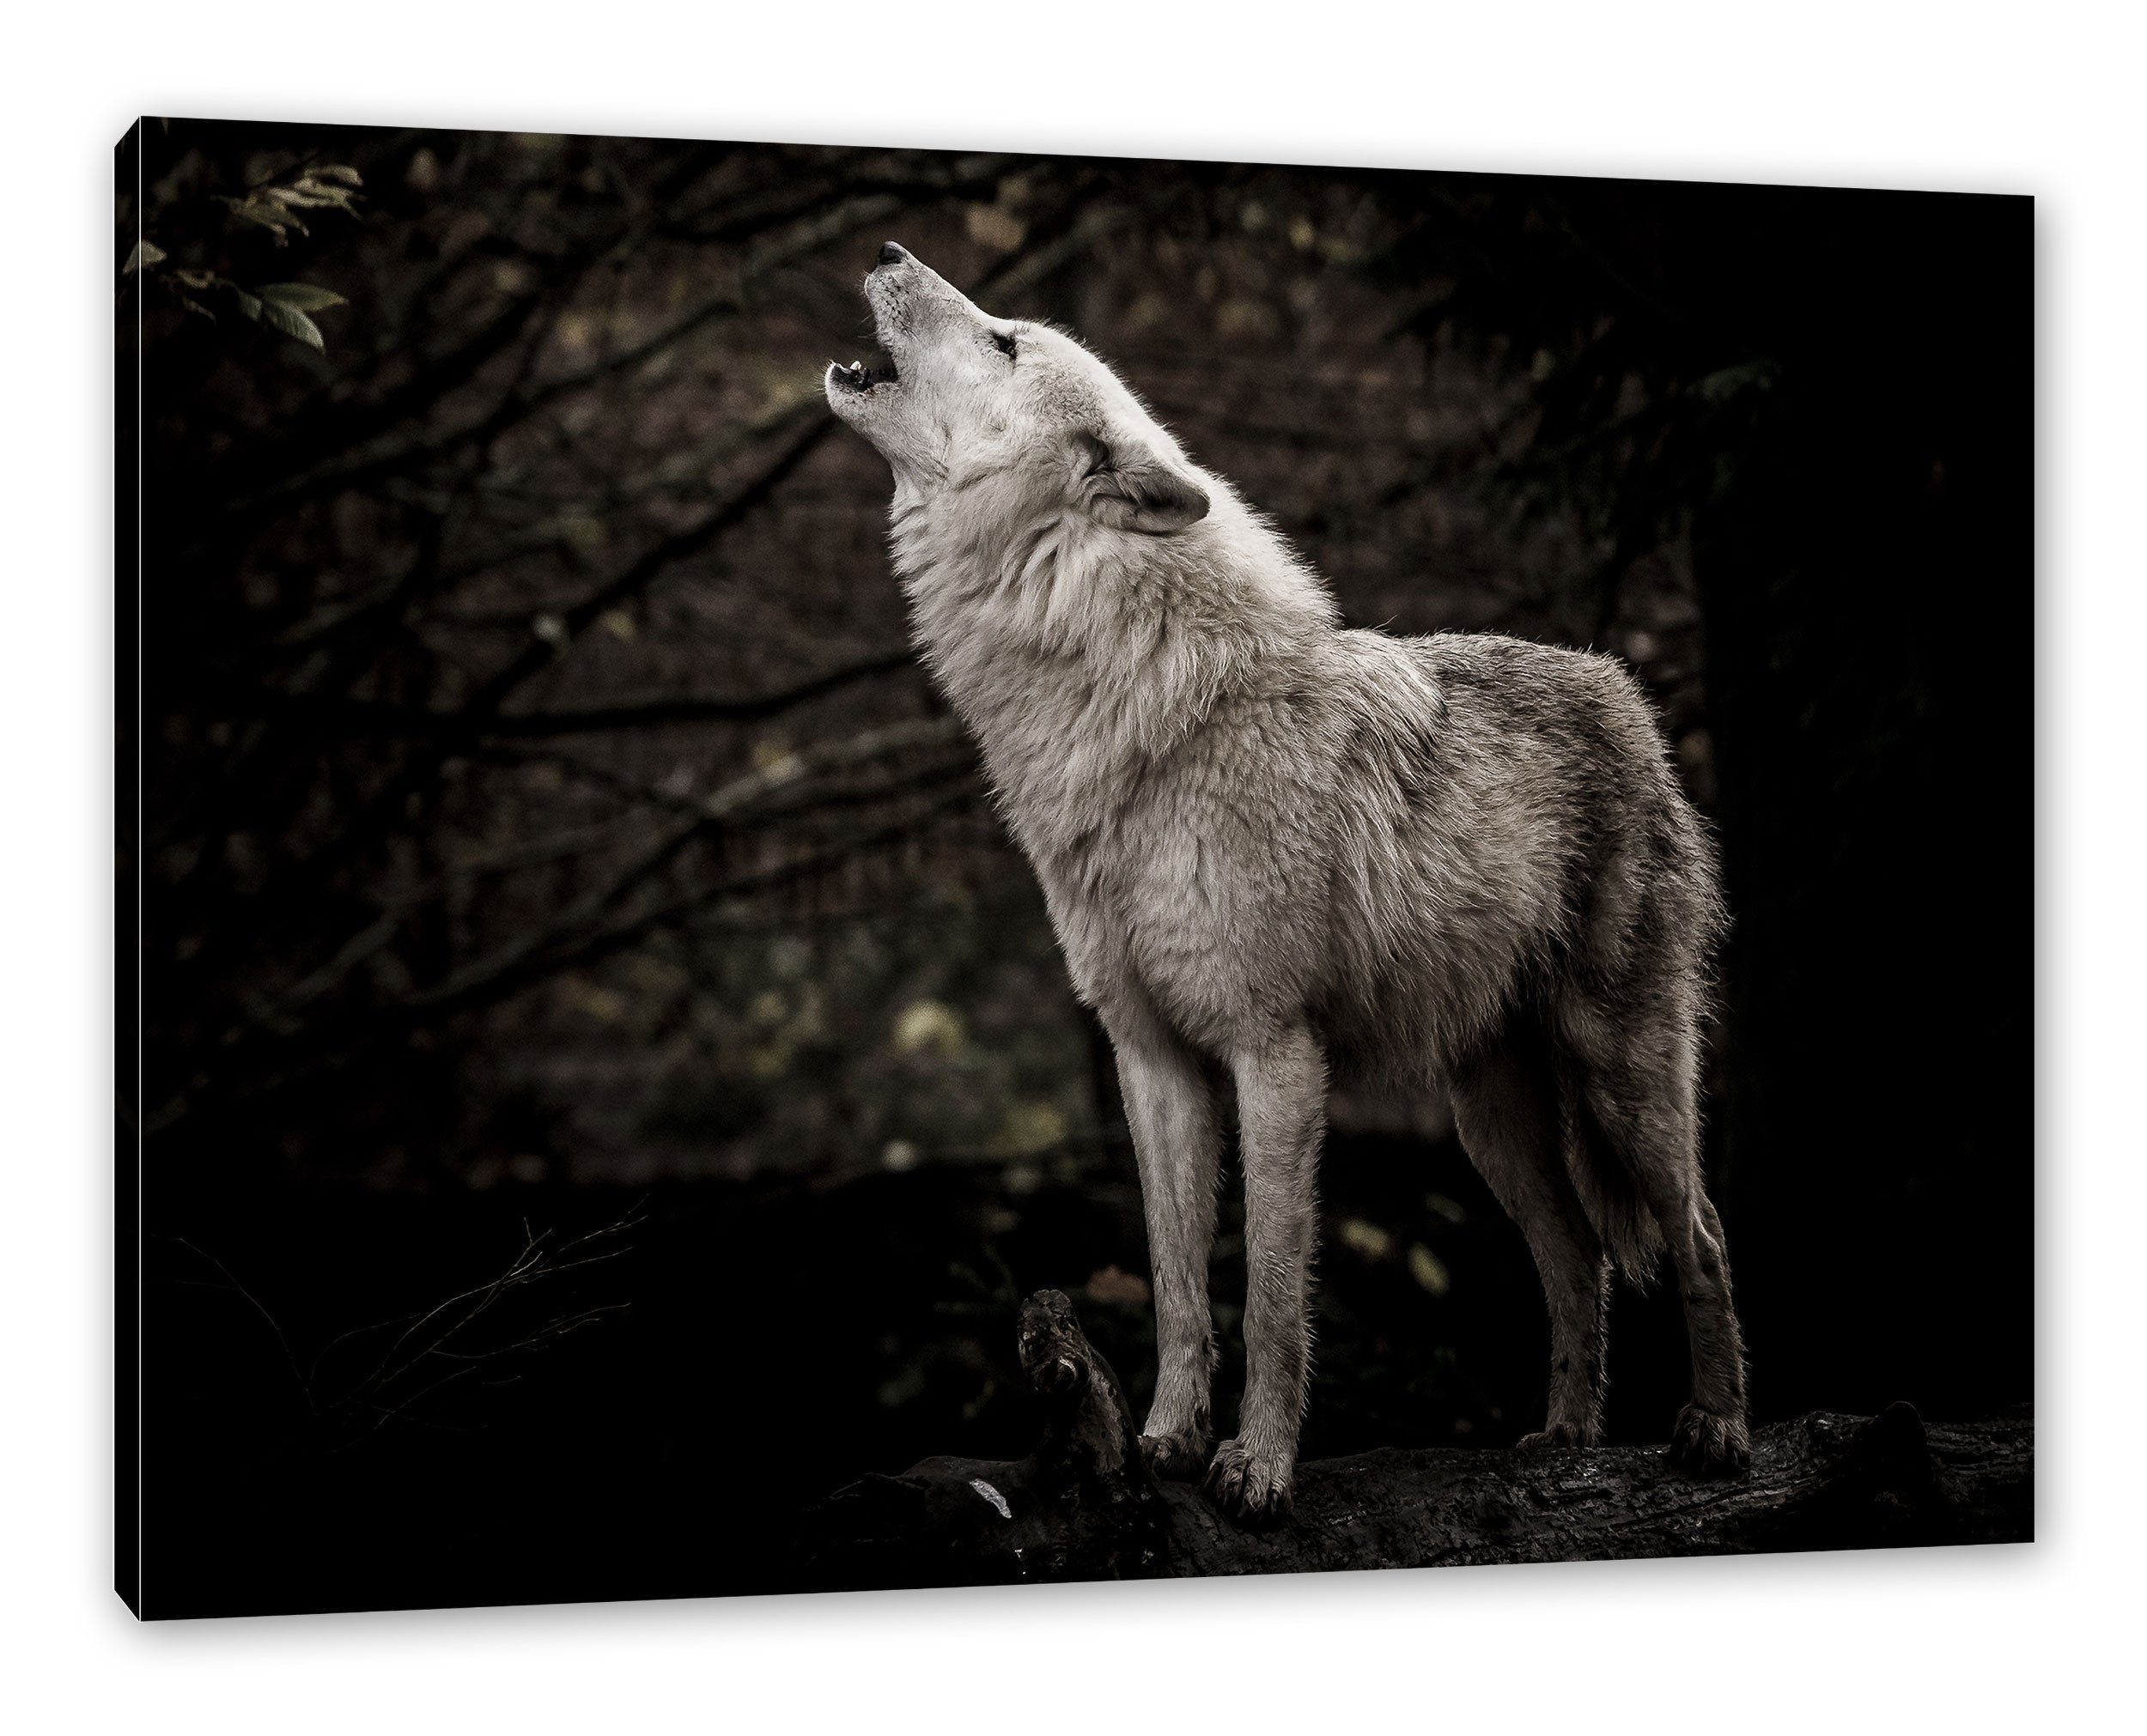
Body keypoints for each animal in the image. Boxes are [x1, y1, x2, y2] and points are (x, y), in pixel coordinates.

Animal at [825, 242, 1748, 1523]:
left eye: (1006, 338)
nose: (889, 252)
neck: (1143, 714)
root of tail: (1624, 693)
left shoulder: (1274, 1054)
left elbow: (1268, 1291)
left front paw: (1256, 1468)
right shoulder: (1151, 1059)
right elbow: (1175, 1283)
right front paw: (1160, 1444)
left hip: (1622, 1075)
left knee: (1698, 1233)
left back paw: (1716, 1428)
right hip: (1488, 1120)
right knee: (1579, 1256)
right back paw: (1564, 1435)